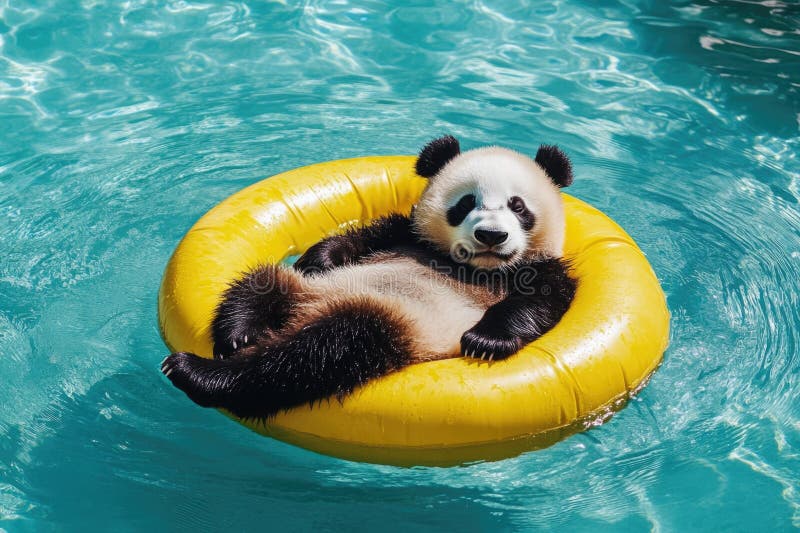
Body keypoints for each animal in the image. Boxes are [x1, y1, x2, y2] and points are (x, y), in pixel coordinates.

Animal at [161, 136, 577, 418]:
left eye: (517, 206)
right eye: (465, 203)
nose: (490, 235)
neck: (475, 267)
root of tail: (303, 310)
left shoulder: (540, 270)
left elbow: (539, 302)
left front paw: (485, 341)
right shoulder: (408, 236)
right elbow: (364, 237)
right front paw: (318, 259)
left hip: (394, 321)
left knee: (321, 351)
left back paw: (199, 372)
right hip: (302, 288)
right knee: (257, 288)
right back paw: (239, 334)